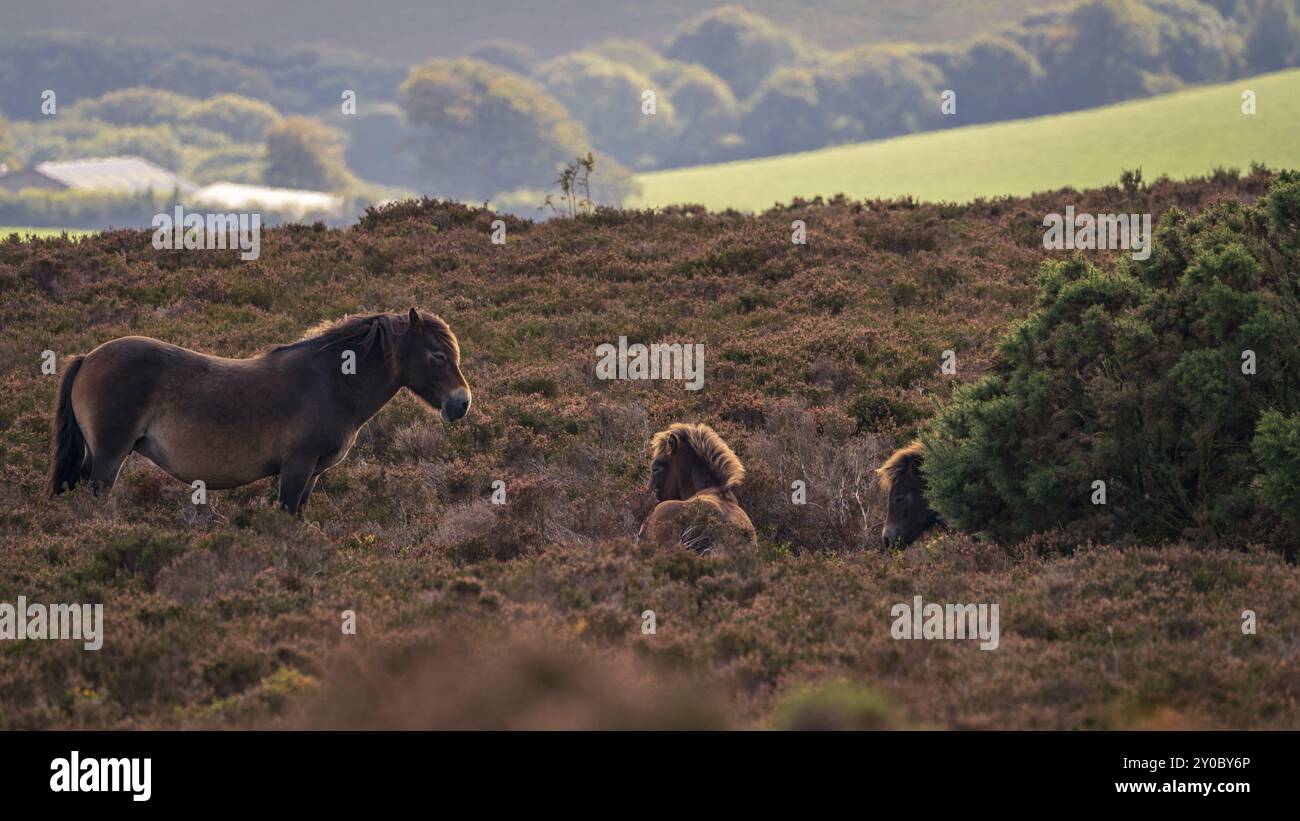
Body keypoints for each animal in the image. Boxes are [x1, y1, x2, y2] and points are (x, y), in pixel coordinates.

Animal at [48, 307, 471, 515]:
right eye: (437, 355)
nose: (461, 403)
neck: (333, 383)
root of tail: (87, 358)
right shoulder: (296, 468)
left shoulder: (312, 474)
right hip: (110, 454)